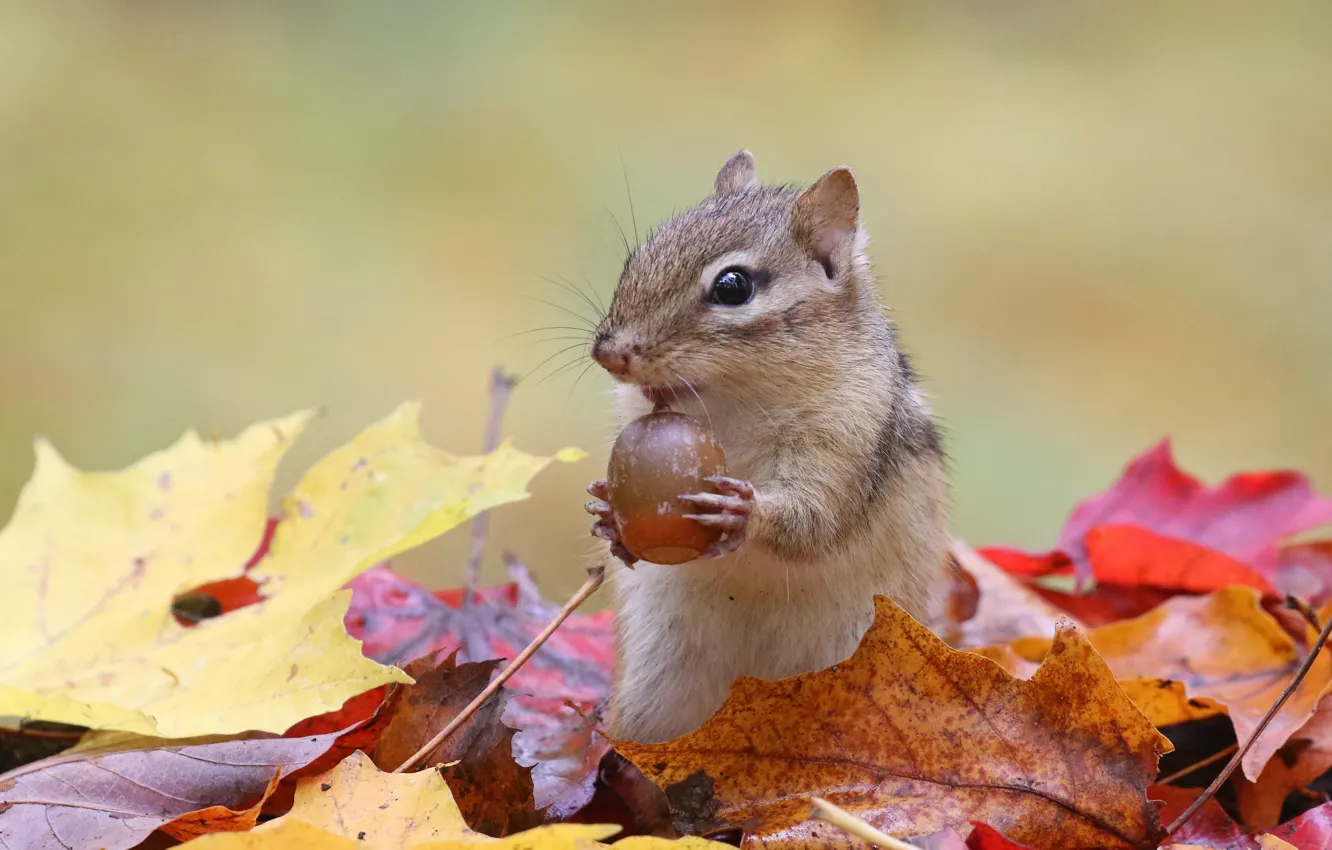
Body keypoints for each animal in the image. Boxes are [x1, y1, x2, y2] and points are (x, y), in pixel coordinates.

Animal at [584, 151, 950, 744]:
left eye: (733, 287)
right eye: (636, 256)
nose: (609, 354)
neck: (734, 403)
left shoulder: (846, 440)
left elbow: (815, 520)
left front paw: (743, 512)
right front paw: (606, 515)